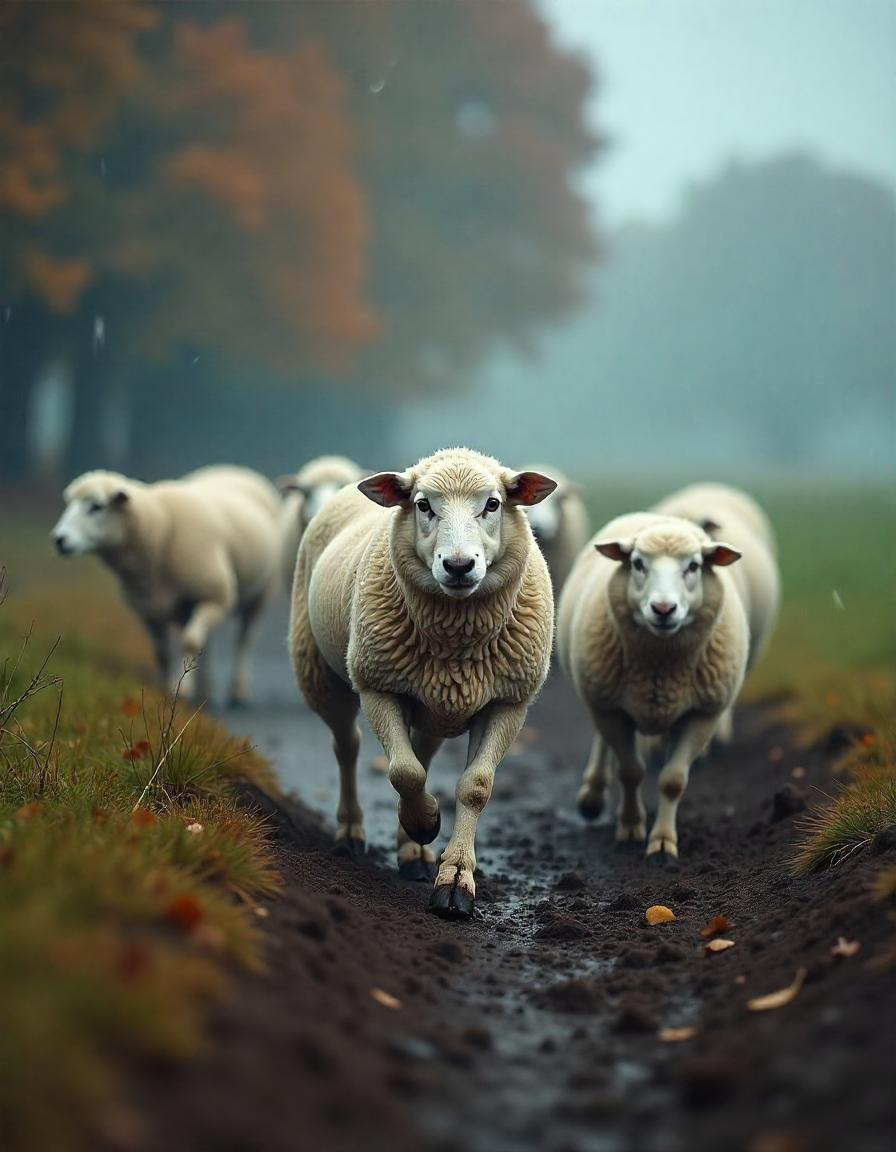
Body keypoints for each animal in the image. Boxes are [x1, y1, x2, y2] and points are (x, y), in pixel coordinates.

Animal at [52, 465, 281, 705]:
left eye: (96, 506)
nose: (59, 539)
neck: (158, 527)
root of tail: (230, 468)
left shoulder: (215, 597)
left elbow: (190, 642)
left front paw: (183, 691)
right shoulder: (148, 611)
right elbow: (162, 654)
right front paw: (164, 692)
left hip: (259, 594)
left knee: (243, 640)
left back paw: (238, 691)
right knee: (207, 643)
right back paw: (206, 691)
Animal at [289, 447, 556, 920]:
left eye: (493, 504)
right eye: (422, 505)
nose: (458, 565)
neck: (455, 638)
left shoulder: (509, 702)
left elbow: (474, 787)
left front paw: (454, 880)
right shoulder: (378, 685)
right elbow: (403, 771)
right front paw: (425, 821)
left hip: (433, 705)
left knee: (421, 752)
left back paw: (413, 853)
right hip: (322, 673)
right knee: (348, 747)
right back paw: (352, 832)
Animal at [557, 512, 749, 861]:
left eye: (694, 566)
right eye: (637, 563)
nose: (663, 609)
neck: (661, 668)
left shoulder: (703, 714)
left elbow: (673, 781)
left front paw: (662, 843)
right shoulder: (611, 711)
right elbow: (631, 771)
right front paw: (631, 827)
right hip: (600, 694)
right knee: (603, 743)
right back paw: (591, 797)